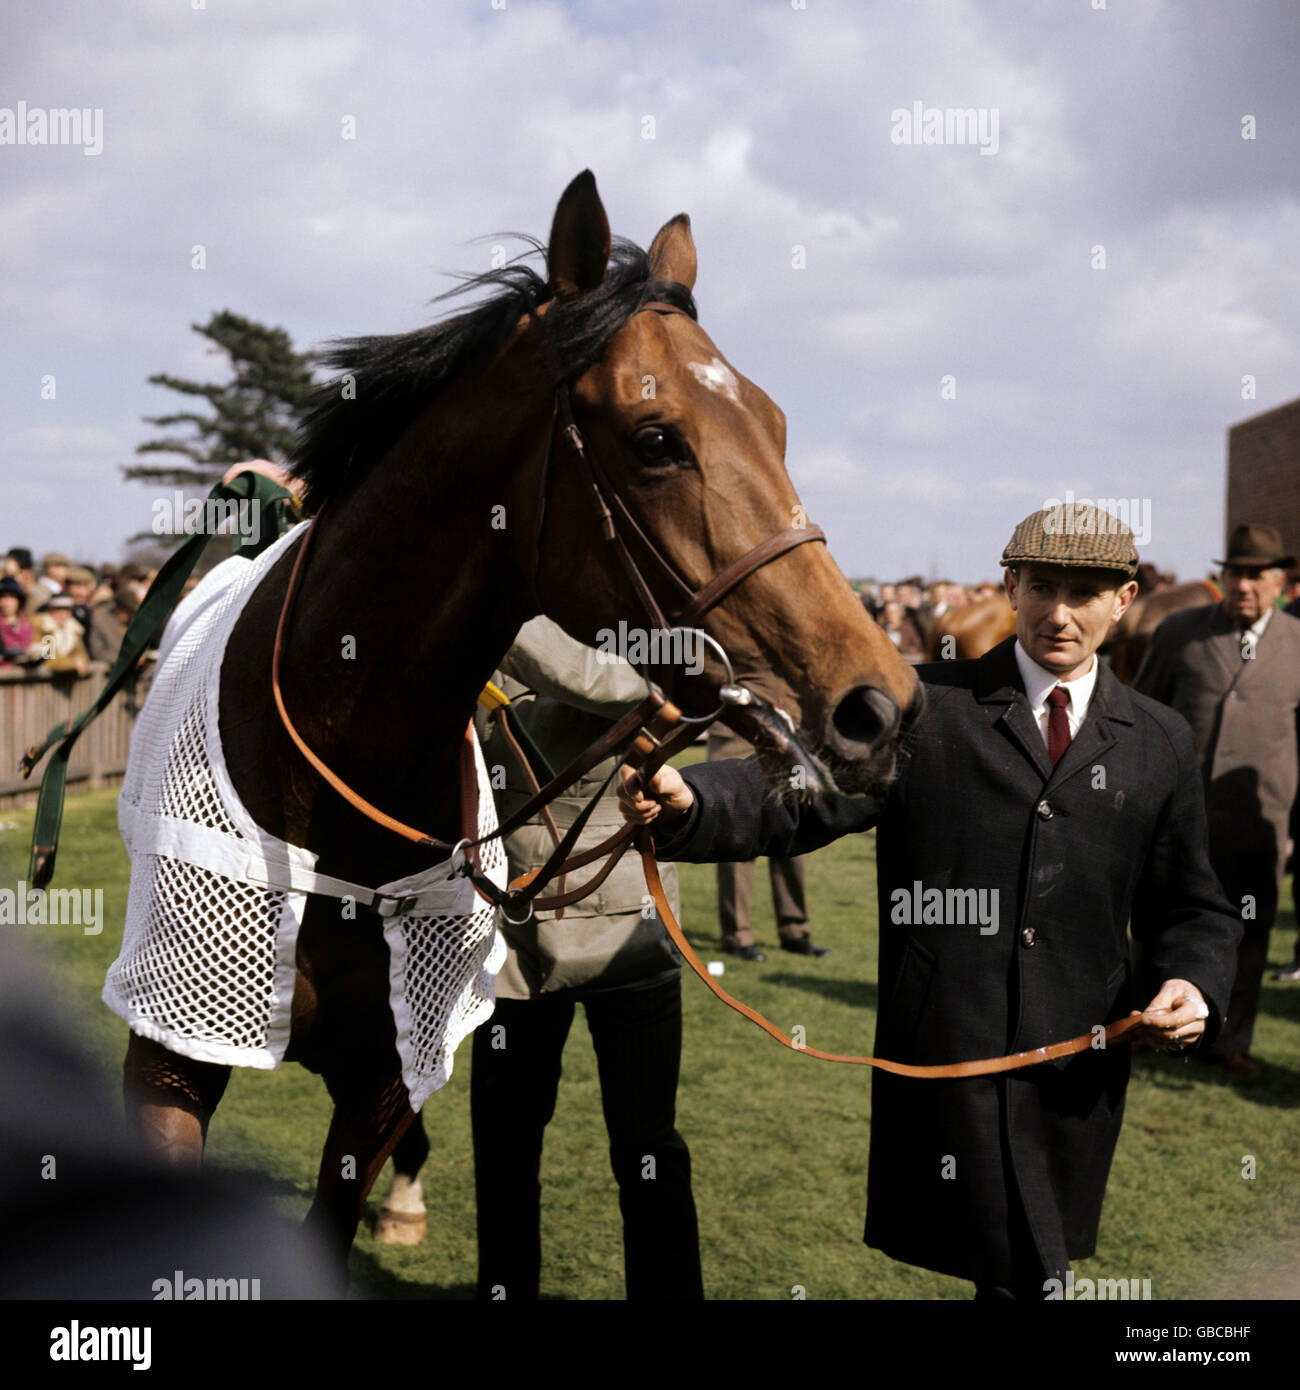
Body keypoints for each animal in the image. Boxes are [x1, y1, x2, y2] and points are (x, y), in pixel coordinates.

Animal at [115, 171, 921, 1284]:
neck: (324, 795)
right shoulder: (171, 1059)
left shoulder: (385, 1067)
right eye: (656, 439)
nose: (876, 703)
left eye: (776, 422)